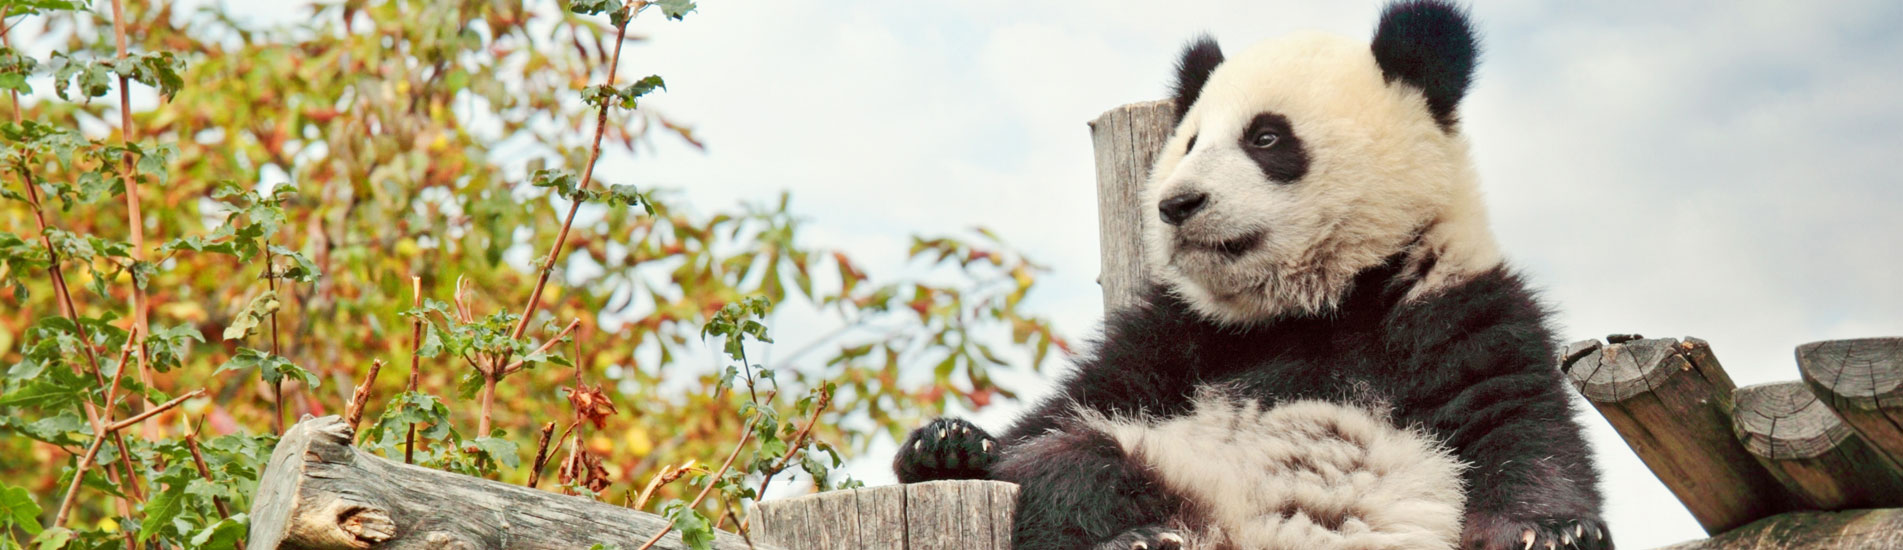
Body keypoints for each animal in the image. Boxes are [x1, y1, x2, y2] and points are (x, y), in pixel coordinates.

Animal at [893, 2, 1608, 550]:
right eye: (1189, 142)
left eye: (1265, 137)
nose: (1176, 204)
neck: (1312, 303)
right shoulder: (1176, 336)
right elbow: (1065, 409)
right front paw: (946, 443)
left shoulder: (1449, 299)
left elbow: (1517, 418)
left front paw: (1552, 531)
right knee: (1071, 458)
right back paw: (1141, 536)